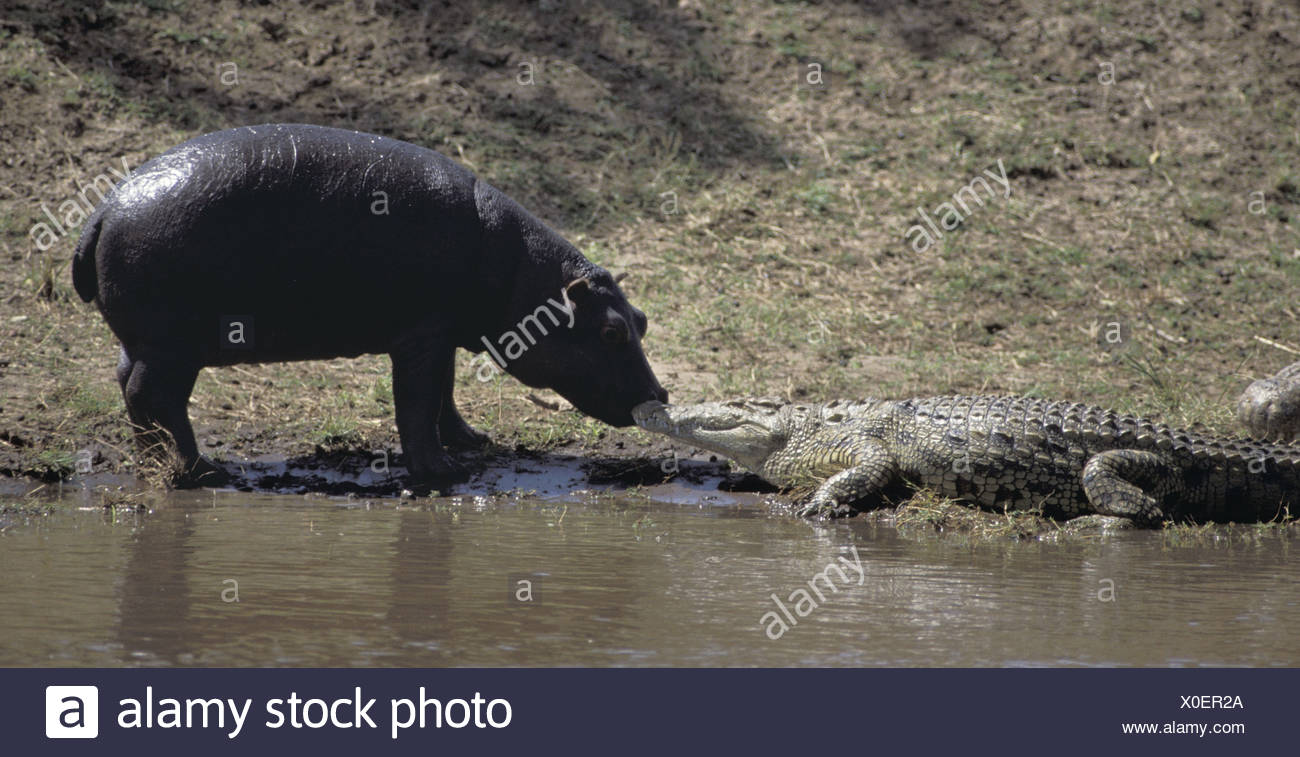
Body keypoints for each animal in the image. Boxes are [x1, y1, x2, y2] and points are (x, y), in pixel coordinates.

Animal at [72, 123, 667, 486]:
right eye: (612, 331)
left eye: (642, 320)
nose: (660, 395)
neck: (524, 275)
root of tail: (103, 209)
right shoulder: (423, 334)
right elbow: (417, 402)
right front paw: (442, 473)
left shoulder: (441, 334)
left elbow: (444, 393)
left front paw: (473, 442)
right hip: (172, 347)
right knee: (154, 397)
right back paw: (204, 471)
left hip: (144, 343)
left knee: (127, 386)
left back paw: (160, 462)